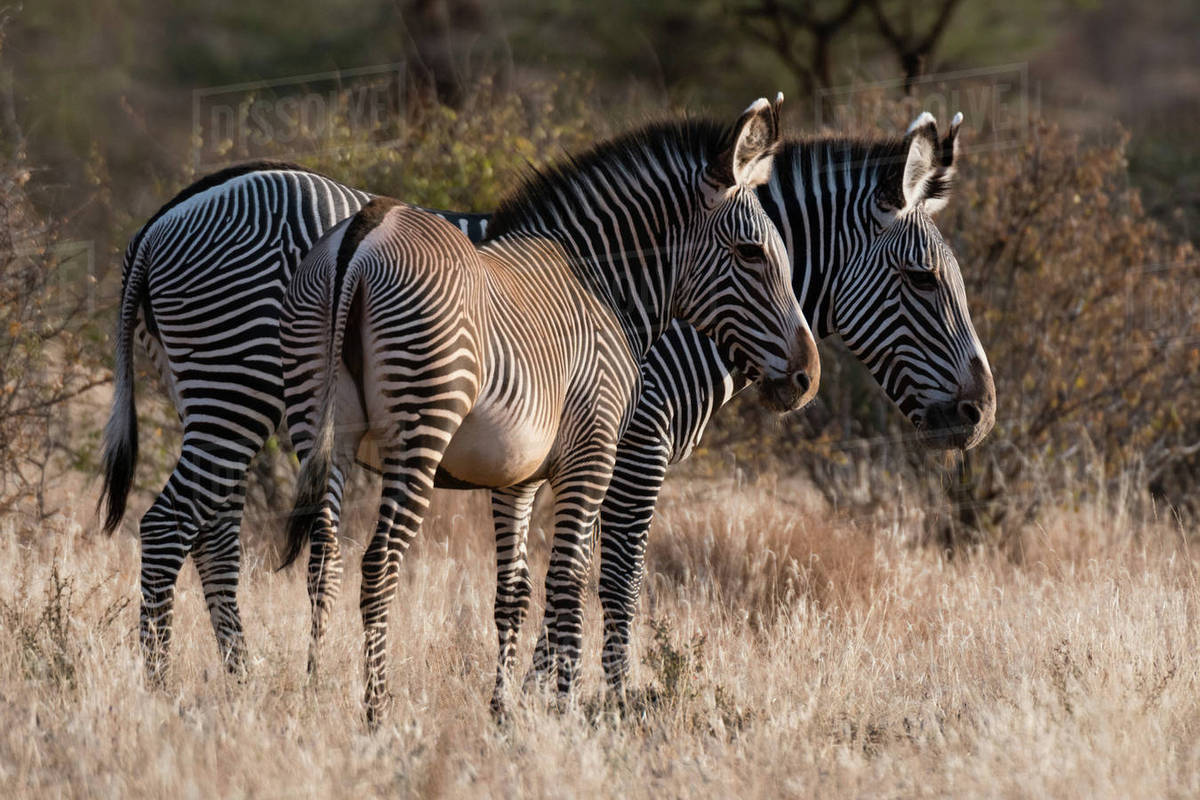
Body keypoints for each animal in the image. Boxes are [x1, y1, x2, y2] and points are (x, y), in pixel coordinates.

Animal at [279, 97, 820, 721]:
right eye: (751, 253)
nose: (807, 378)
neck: (604, 286)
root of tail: (364, 230)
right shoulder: (593, 456)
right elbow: (569, 583)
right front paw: (567, 708)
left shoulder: (517, 477)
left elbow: (513, 594)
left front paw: (504, 712)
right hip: (419, 428)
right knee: (380, 563)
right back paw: (376, 713)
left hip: (319, 425)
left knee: (324, 561)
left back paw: (313, 695)